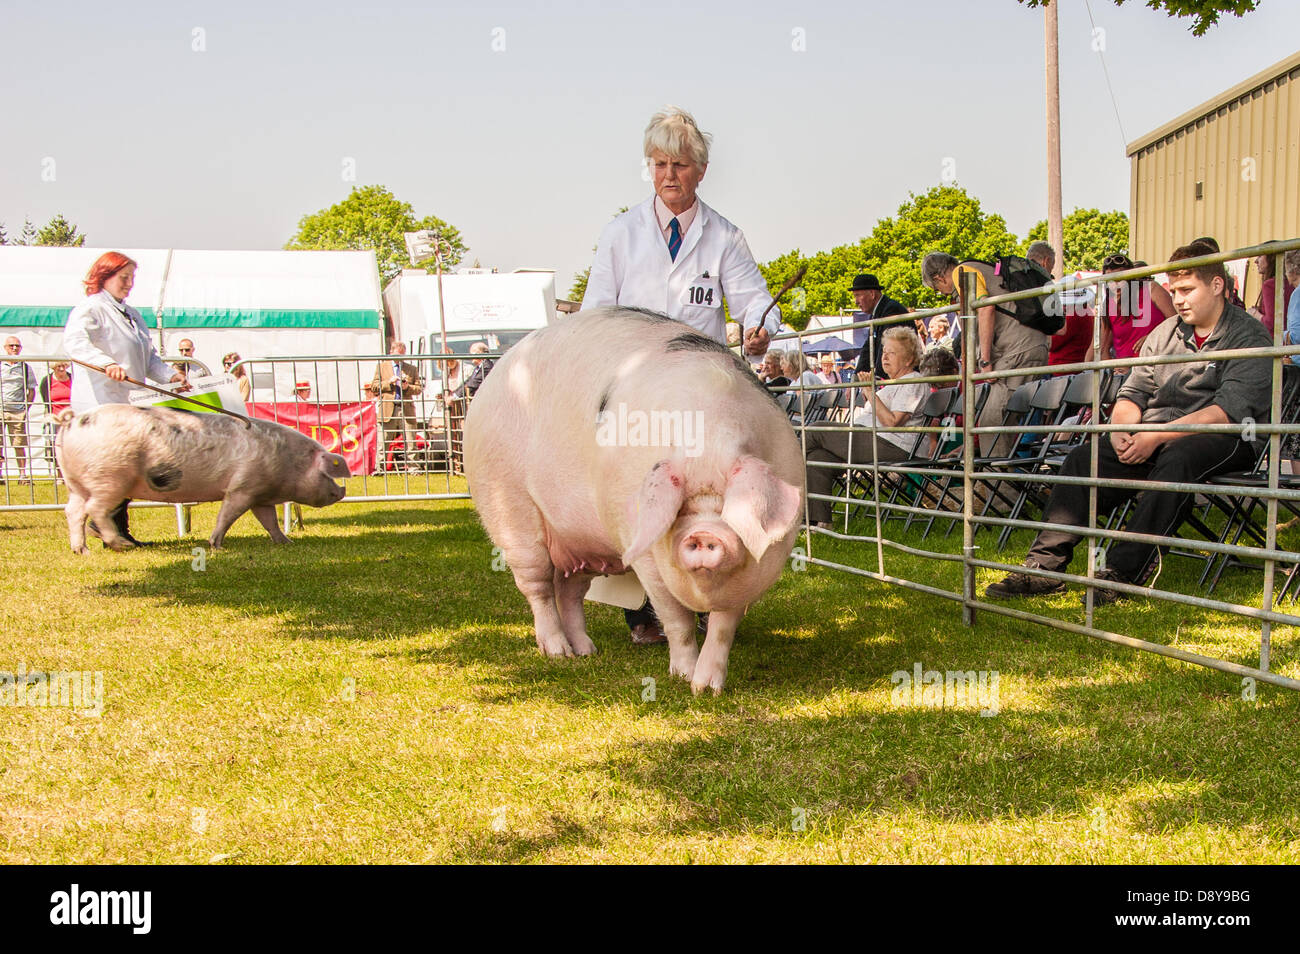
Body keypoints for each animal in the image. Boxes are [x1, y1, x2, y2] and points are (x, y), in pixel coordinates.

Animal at [56, 405, 350, 553]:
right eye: (329, 473)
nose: (342, 493)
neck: (288, 461)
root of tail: (71, 421)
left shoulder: (260, 495)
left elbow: (269, 521)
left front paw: (286, 542)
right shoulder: (242, 487)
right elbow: (227, 515)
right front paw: (216, 546)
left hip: (76, 484)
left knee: (73, 512)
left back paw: (80, 550)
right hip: (109, 478)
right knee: (96, 509)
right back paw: (121, 544)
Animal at [464, 307, 805, 694]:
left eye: (726, 504)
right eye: (682, 508)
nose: (705, 533)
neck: (707, 440)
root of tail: (495, 376)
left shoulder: (752, 575)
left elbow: (722, 627)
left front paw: (706, 689)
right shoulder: (644, 557)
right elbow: (676, 619)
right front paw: (682, 676)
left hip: (581, 540)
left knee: (569, 590)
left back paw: (586, 651)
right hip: (506, 505)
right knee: (538, 586)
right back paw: (558, 653)